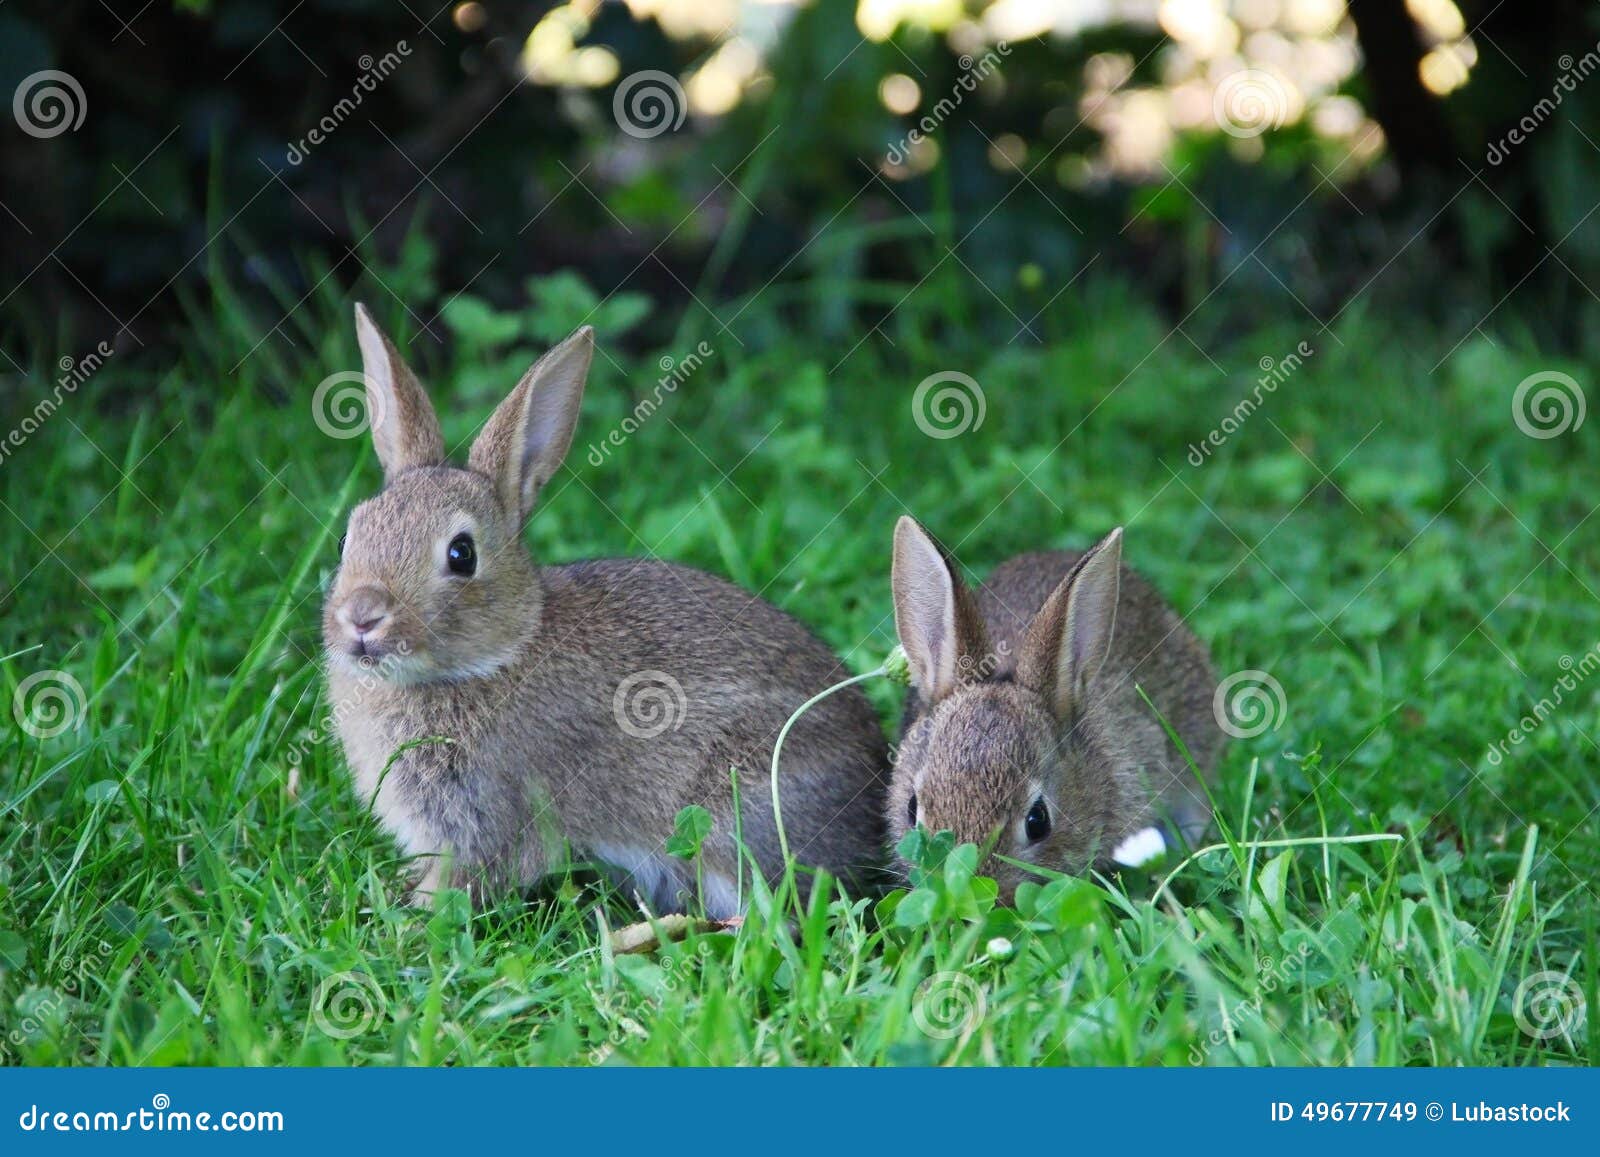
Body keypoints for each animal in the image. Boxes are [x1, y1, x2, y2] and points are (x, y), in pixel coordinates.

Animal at [321, 305, 889, 916]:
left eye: (461, 554)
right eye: (348, 538)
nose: (362, 617)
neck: (498, 655)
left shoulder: (489, 818)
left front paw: (416, 918)